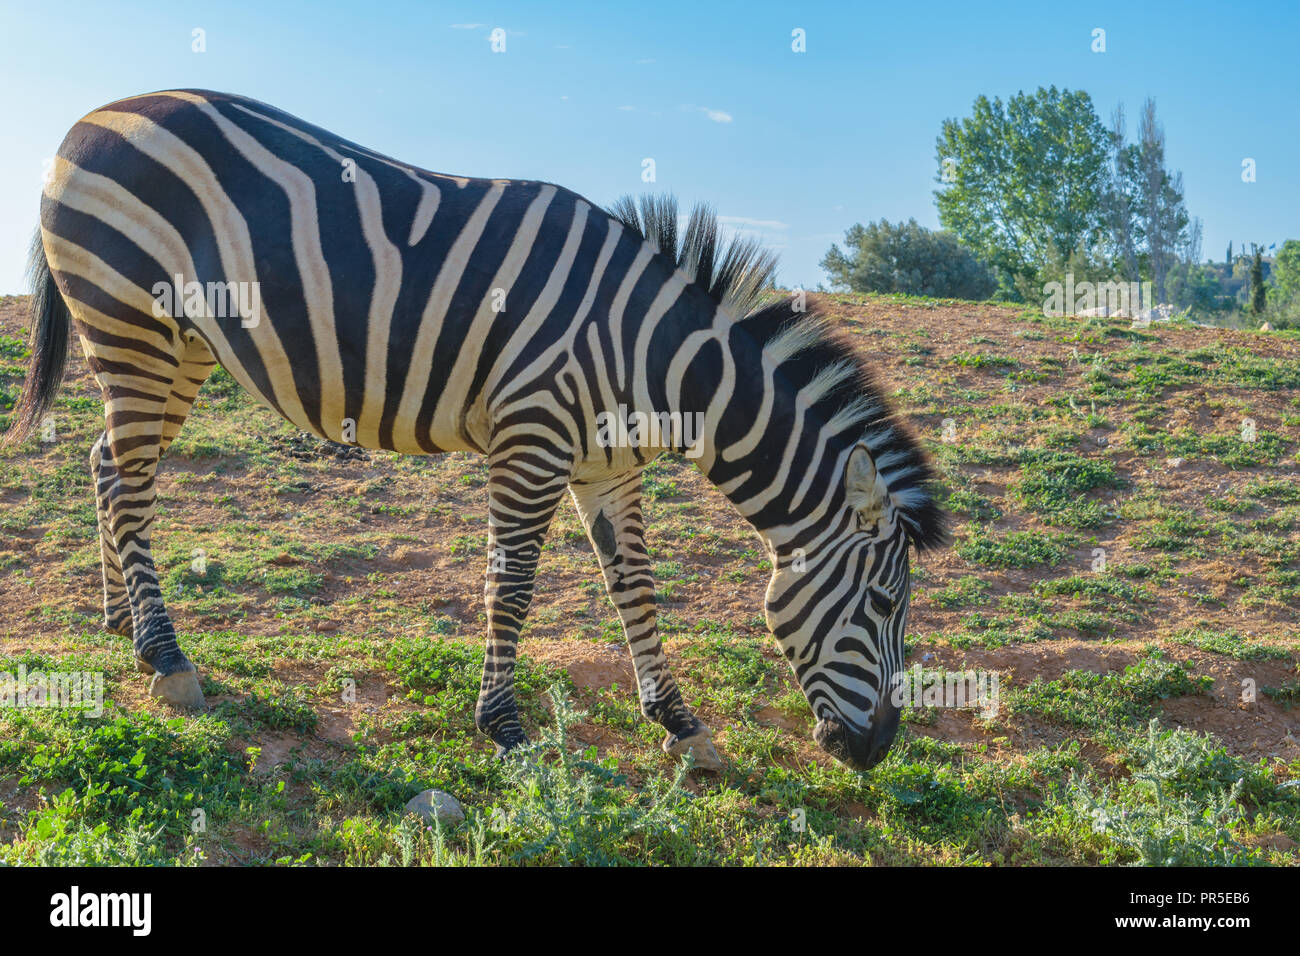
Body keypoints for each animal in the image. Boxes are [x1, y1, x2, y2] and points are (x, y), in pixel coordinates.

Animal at [5, 90, 947, 772]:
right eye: (884, 605)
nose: (876, 753)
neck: (659, 359)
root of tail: (90, 117)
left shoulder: (609, 466)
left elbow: (637, 589)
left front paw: (681, 726)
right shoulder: (533, 438)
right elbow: (514, 587)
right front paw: (504, 729)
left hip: (180, 346)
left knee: (107, 463)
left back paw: (122, 623)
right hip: (130, 317)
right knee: (128, 479)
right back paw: (165, 656)